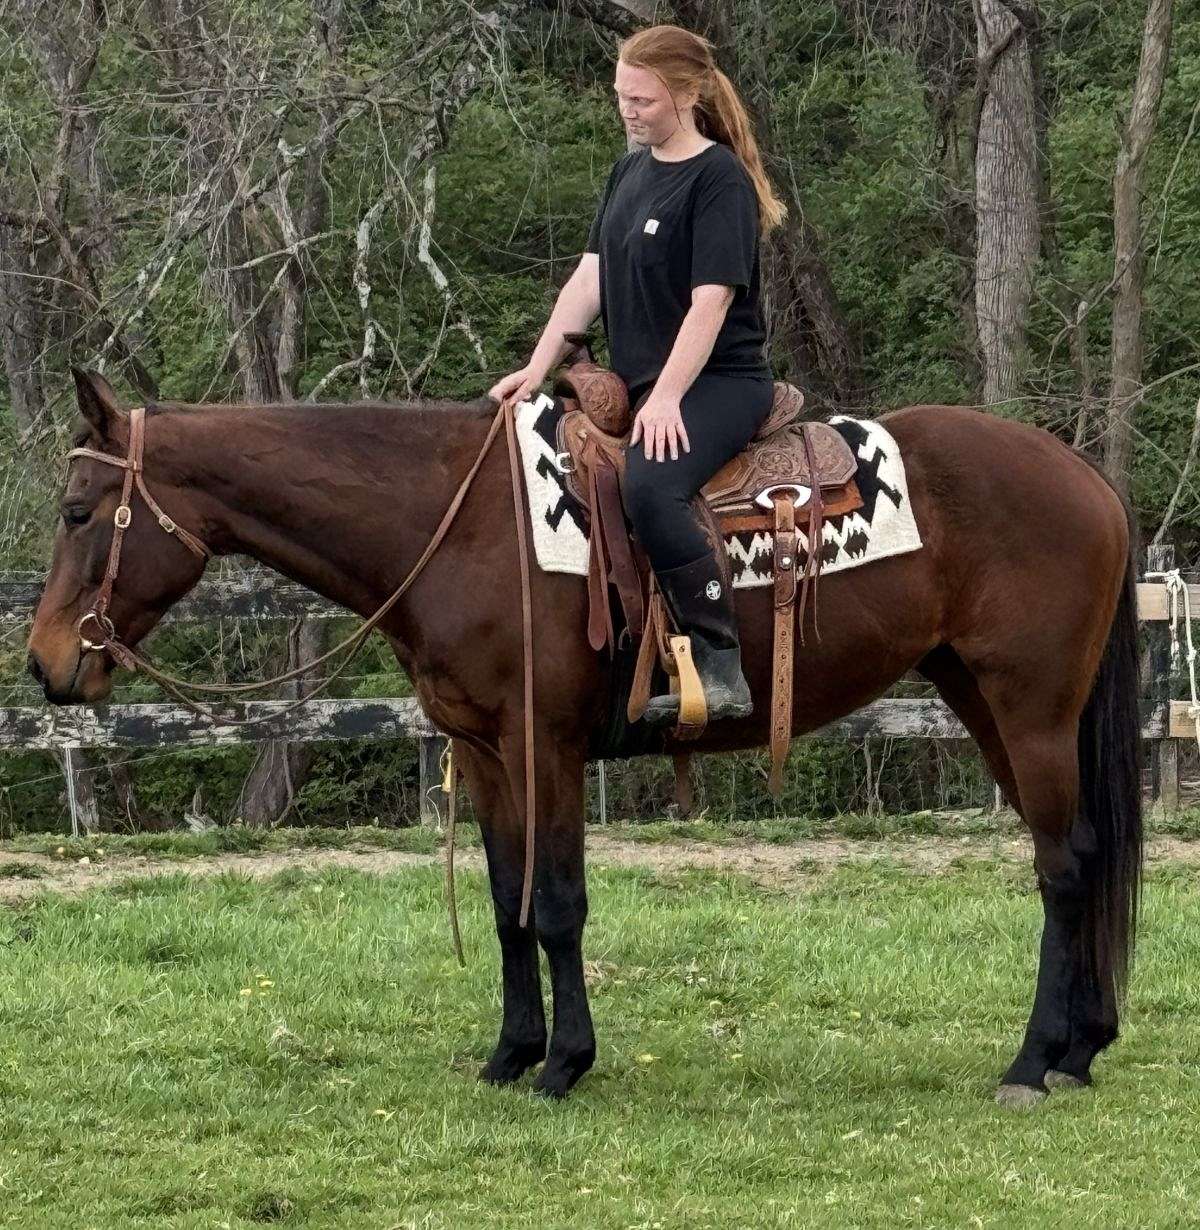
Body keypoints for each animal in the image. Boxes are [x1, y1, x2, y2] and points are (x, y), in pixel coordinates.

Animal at [28, 369, 1141, 1106]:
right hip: (985, 701)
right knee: (1083, 855)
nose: (45, 665)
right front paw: (511, 1053)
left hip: (1031, 709)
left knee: (1061, 868)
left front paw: (565, 1064)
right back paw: (1083, 1046)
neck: (455, 524)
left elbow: (558, 904)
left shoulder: (544, 745)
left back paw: (1033, 1062)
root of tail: (1087, 477)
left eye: (79, 509)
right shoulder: (483, 754)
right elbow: (508, 905)